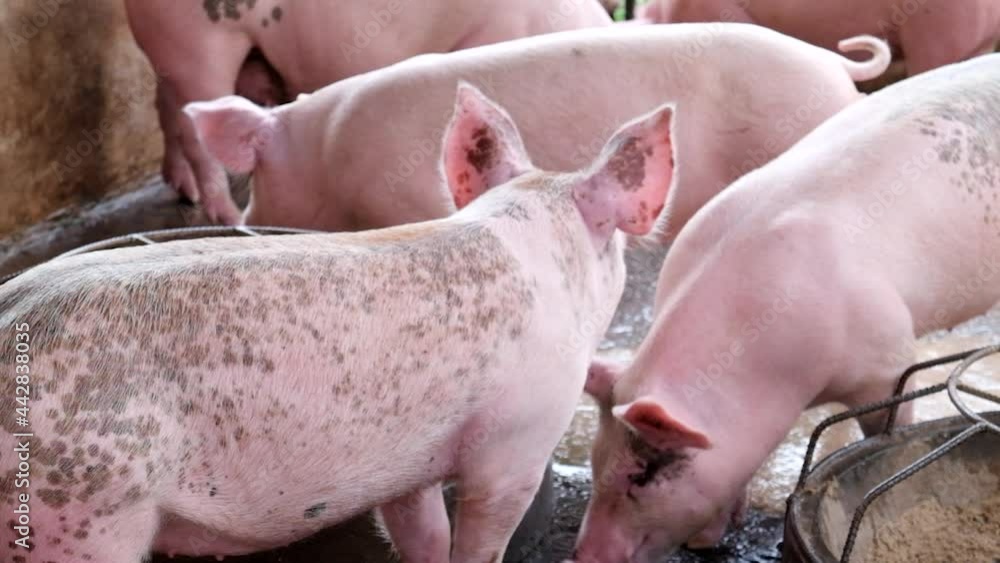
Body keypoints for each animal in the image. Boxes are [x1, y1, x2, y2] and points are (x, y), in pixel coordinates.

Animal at [0, 84, 673, 563]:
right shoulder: (517, 445)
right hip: (85, 511)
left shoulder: (409, 468)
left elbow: (423, 534)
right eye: (616, 246)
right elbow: (482, 540)